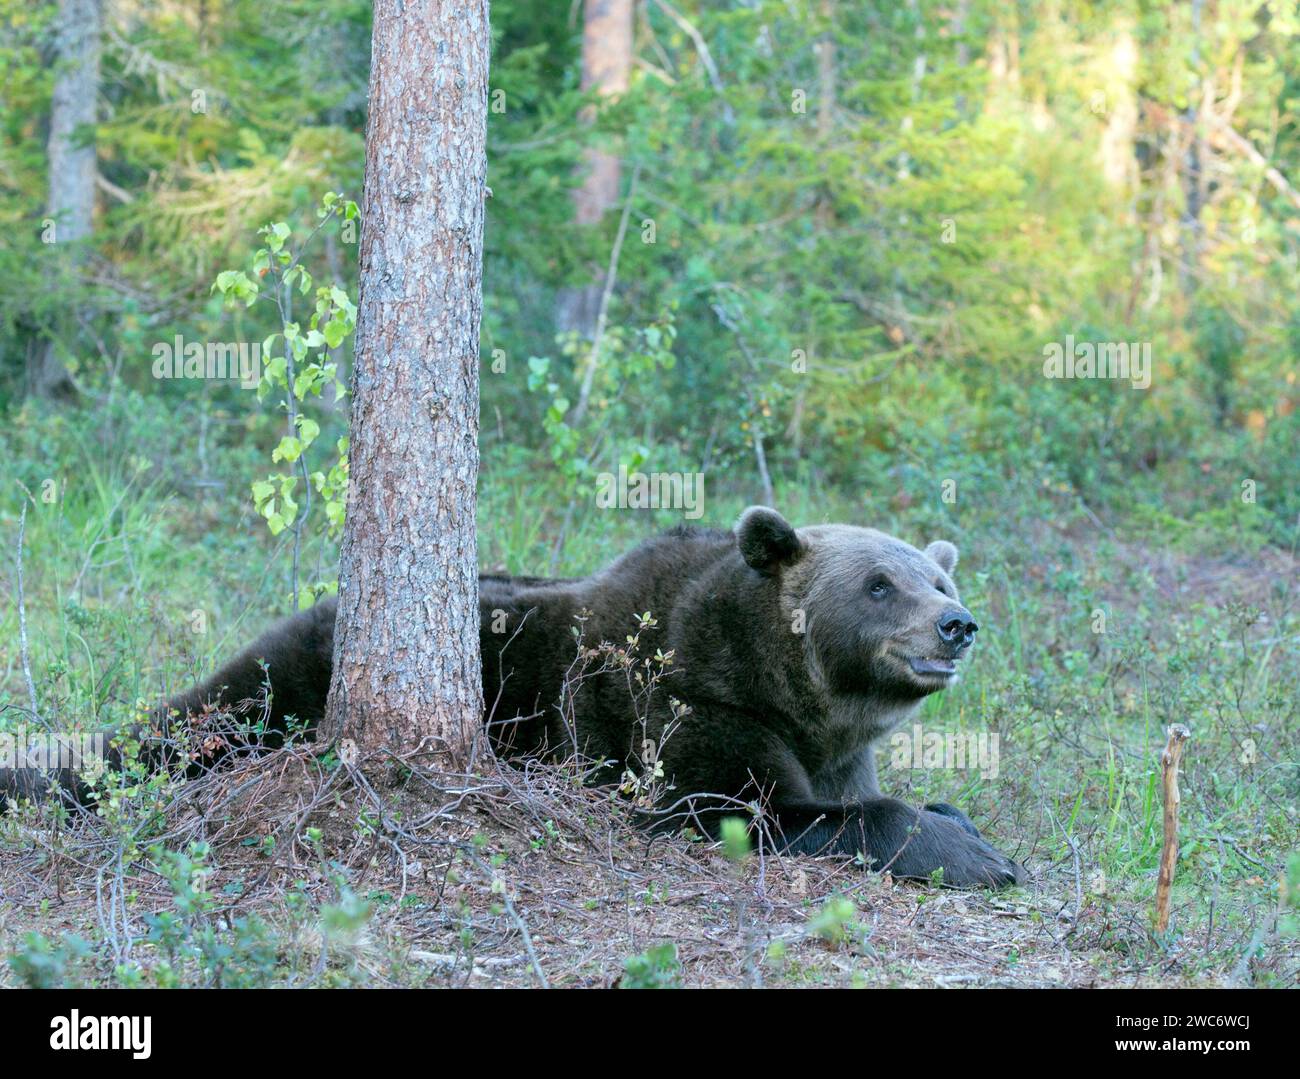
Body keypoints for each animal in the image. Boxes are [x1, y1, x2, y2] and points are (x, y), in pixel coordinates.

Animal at [1, 507, 1023, 889]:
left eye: (934, 575)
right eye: (880, 583)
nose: (957, 624)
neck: (793, 691)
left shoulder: (833, 744)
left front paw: (959, 818)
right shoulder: (685, 709)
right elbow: (742, 804)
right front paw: (976, 852)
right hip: (293, 674)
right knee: (194, 721)